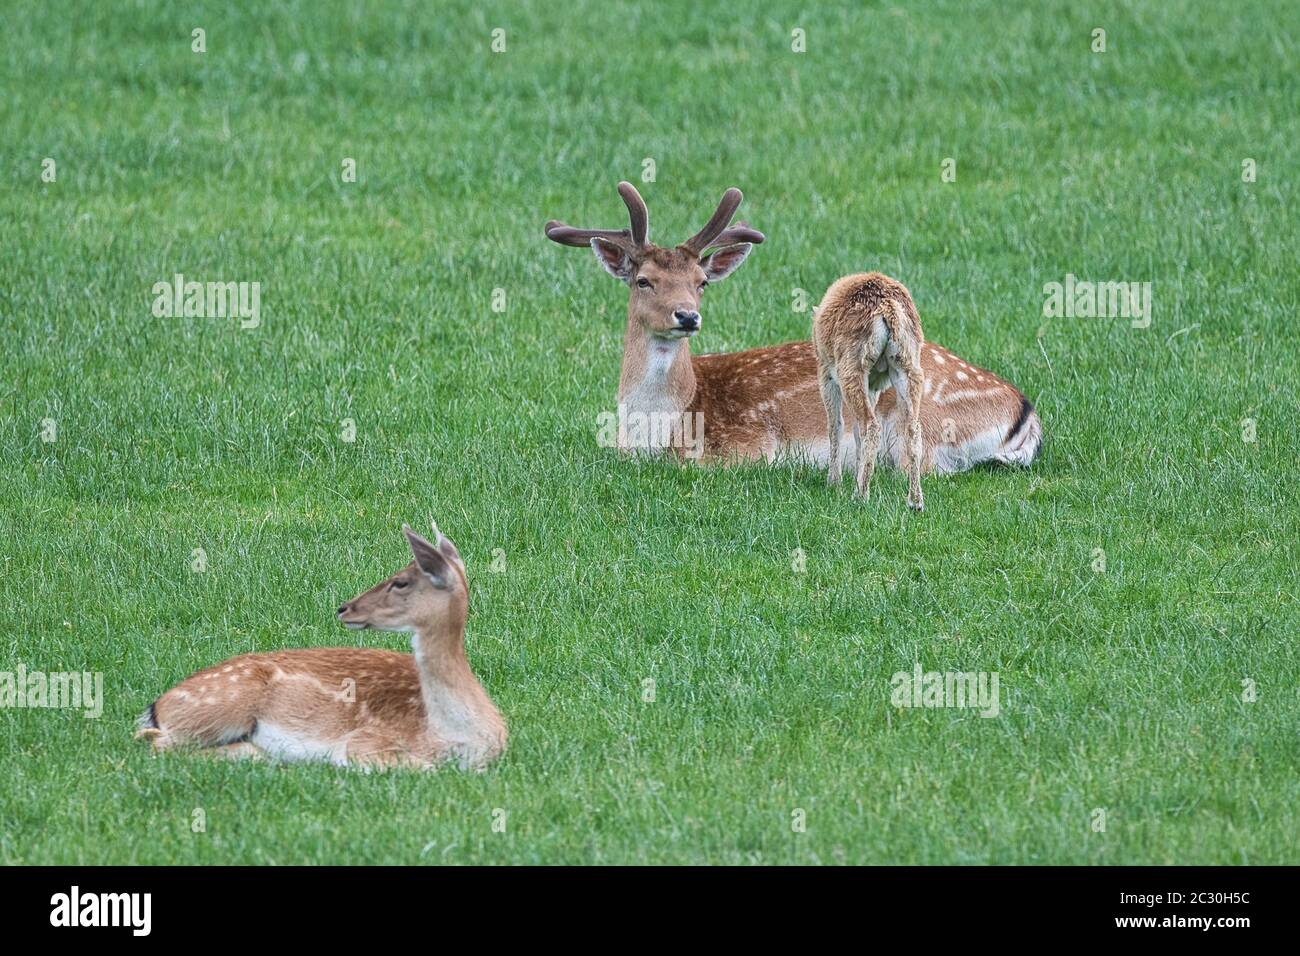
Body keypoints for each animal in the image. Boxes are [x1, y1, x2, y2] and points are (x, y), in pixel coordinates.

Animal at [813, 272, 927, 510]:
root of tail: (888, 307)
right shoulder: (874, 385)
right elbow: (855, 432)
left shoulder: (825, 373)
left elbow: (835, 425)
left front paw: (833, 482)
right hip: (908, 363)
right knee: (912, 427)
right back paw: (915, 501)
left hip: (851, 366)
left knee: (871, 425)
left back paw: (860, 496)